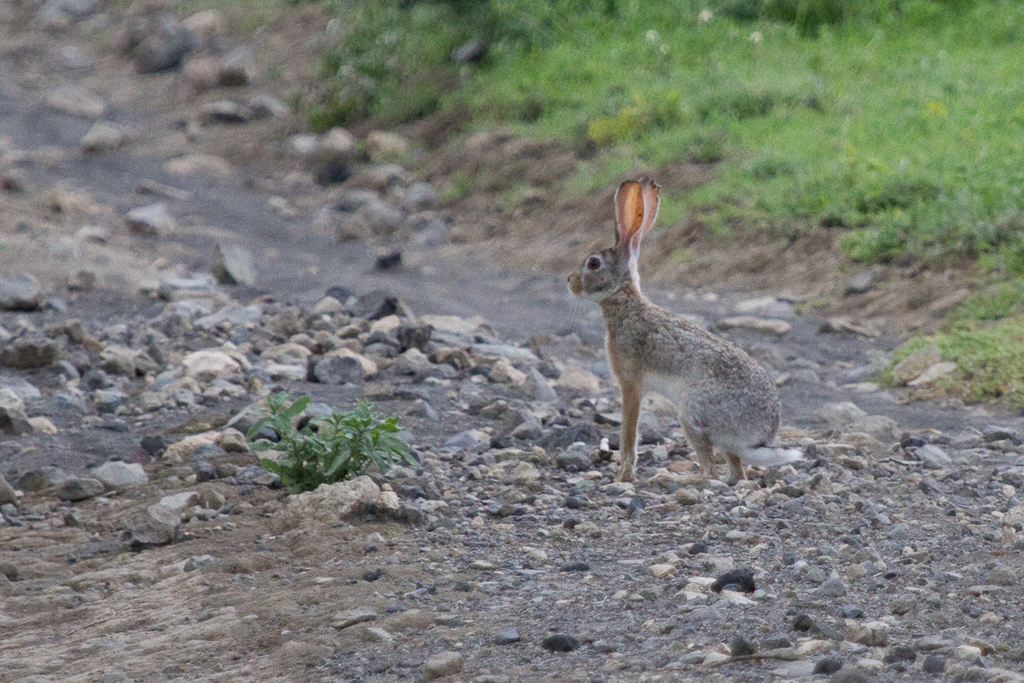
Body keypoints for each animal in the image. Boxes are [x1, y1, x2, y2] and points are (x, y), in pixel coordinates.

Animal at [567, 177, 801, 484]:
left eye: (593, 263)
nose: (570, 282)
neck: (625, 303)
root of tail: (762, 436)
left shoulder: (630, 383)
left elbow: (628, 434)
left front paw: (622, 477)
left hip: (691, 413)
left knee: (710, 472)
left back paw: (670, 478)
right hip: (718, 437)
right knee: (734, 474)